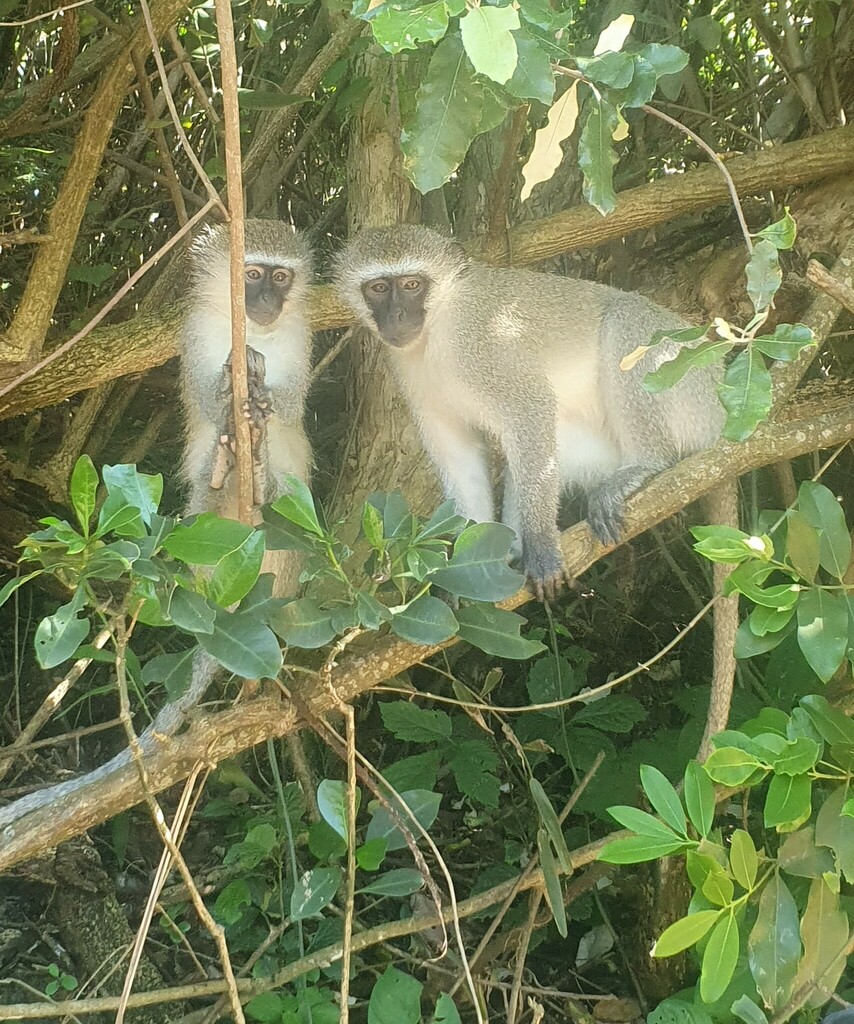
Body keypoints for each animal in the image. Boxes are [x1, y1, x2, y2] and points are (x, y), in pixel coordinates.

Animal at [0, 220, 314, 835]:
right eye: (252, 274)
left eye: (281, 277)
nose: (267, 304)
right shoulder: (194, 336)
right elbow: (201, 395)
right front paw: (228, 397)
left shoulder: (303, 338)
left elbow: (293, 406)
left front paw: (264, 401)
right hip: (199, 525)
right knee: (210, 479)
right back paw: (227, 461)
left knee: (285, 497)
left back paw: (261, 473)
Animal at [333, 224, 726, 601]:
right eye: (379, 288)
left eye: (412, 285)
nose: (396, 315)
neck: (437, 326)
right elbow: (458, 454)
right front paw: (465, 570)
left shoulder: (481, 340)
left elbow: (530, 406)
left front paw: (541, 545)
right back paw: (509, 552)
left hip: (689, 382)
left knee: (626, 320)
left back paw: (646, 465)